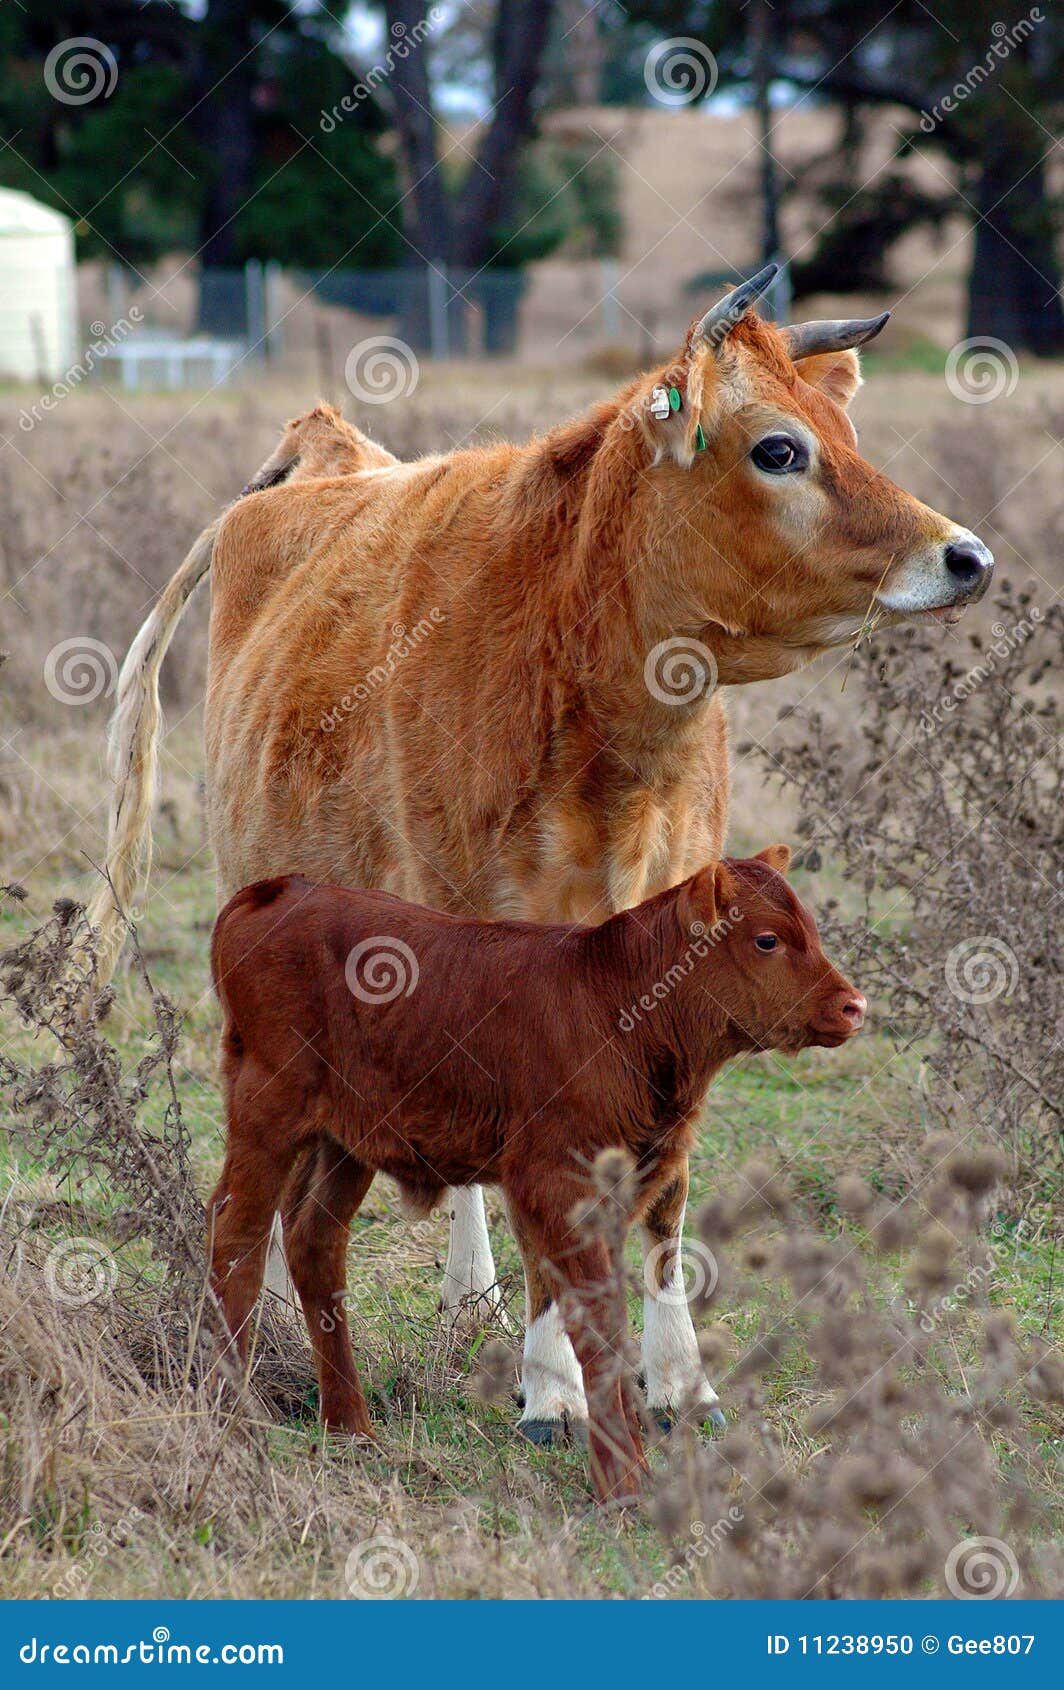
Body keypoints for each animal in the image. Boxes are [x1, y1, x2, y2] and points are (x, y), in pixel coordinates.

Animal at [208, 846, 865, 1502]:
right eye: (767, 939)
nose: (853, 1005)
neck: (617, 1002)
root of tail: (278, 890)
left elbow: (610, 1315)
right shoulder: (552, 1183)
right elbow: (595, 1327)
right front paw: (622, 1481)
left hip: (345, 1140)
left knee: (313, 1239)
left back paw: (350, 1429)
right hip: (267, 1104)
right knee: (235, 1234)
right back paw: (230, 1420)